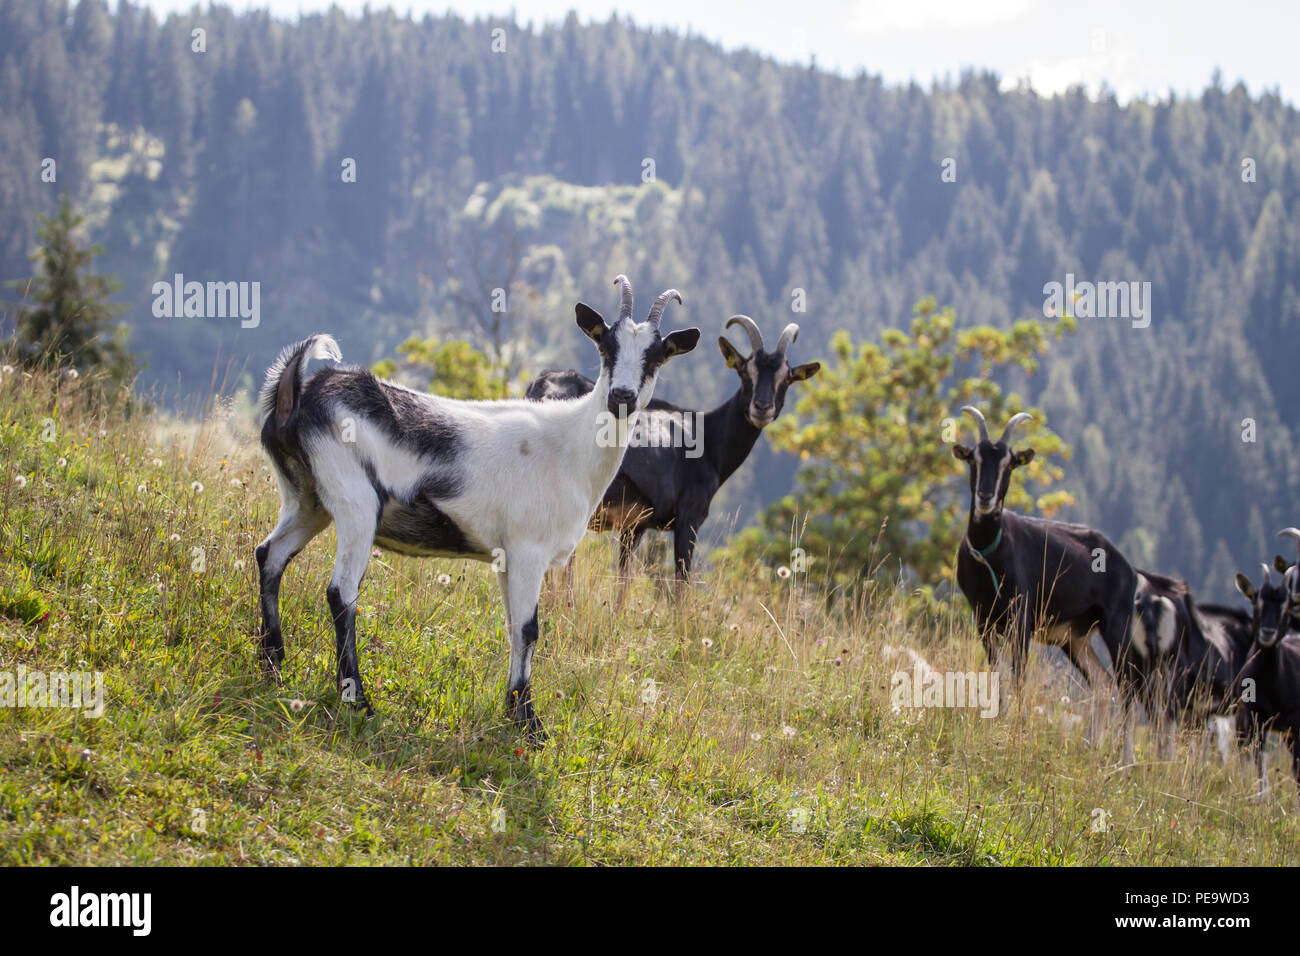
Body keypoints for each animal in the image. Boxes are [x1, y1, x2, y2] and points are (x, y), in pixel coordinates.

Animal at [254, 275, 699, 741]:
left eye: (656, 355)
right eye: (606, 345)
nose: (622, 396)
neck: (569, 445)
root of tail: (298, 391)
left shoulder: (507, 557)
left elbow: (514, 629)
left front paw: (513, 710)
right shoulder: (528, 549)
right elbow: (529, 629)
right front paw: (530, 725)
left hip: (308, 499)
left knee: (271, 555)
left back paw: (274, 663)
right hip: (355, 502)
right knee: (341, 592)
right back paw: (357, 699)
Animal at [526, 315, 819, 579]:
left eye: (787, 378)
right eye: (746, 372)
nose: (762, 407)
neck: (709, 438)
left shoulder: (634, 526)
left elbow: (623, 580)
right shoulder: (688, 517)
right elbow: (681, 585)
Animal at [951, 406, 1137, 738]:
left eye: (1009, 464)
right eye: (974, 458)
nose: (985, 497)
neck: (990, 553)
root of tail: (1128, 569)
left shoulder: (1021, 618)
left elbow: (1019, 674)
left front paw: (1019, 725)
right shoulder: (982, 618)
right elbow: (996, 671)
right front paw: (998, 719)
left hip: (1118, 625)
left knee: (1128, 687)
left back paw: (1121, 751)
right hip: (1074, 637)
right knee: (1103, 683)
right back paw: (1093, 744)